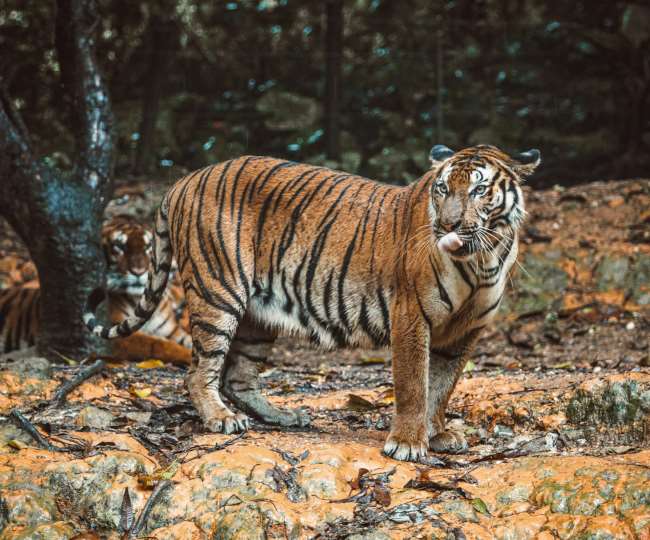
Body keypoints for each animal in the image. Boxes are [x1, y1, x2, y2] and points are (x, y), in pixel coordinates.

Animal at [1, 215, 191, 364]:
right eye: (119, 246)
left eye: (148, 246)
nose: (139, 272)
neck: (142, 299)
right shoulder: (117, 333)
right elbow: (157, 344)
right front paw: (187, 356)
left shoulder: (172, 331)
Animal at [84, 144, 540, 462]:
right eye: (443, 188)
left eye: (479, 190)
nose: (447, 225)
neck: (482, 258)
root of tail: (185, 179)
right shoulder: (411, 316)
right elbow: (414, 385)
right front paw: (409, 443)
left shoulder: (465, 332)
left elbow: (442, 387)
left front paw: (438, 433)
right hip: (218, 294)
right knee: (199, 371)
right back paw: (220, 418)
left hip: (258, 317)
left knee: (238, 377)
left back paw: (283, 417)